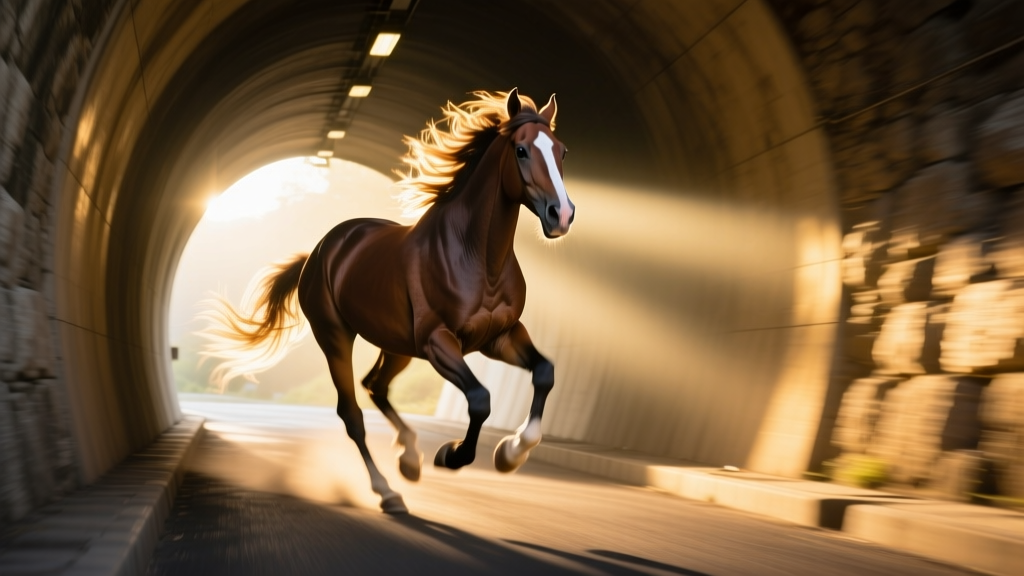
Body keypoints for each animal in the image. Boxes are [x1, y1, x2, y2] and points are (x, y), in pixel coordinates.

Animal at [198, 89, 575, 513]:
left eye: (561, 151)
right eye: (522, 150)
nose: (561, 215)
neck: (478, 259)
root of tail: (320, 250)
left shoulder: (501, 336)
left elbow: (544, 372)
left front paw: (510, 453)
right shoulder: (439, 342)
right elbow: (480, 399)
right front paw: (453, 454)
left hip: (396, 346)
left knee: (375, 385)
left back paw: (409, 458)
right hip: (336, 337)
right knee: (352, 412)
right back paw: (388, 491)